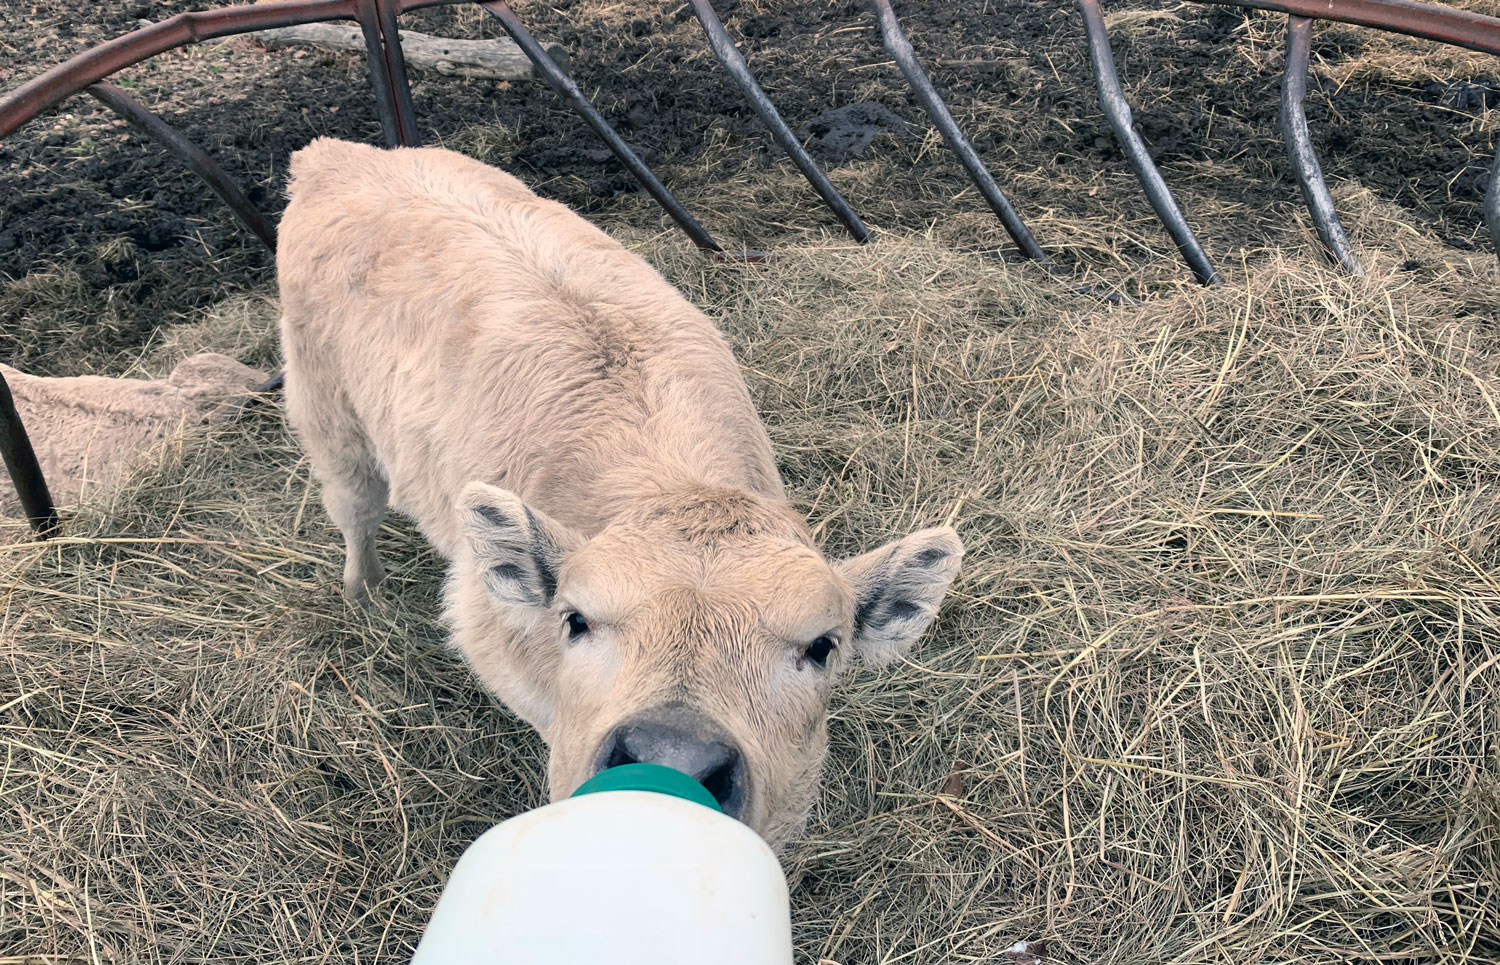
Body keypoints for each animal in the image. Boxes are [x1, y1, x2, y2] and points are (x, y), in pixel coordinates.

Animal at [276, 138, 963, 848]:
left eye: (822, 646)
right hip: (326, 409)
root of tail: (336, 155)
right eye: (574, 620)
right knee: (354, 507)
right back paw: (363, 593)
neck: (672, 470)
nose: (671, 757)